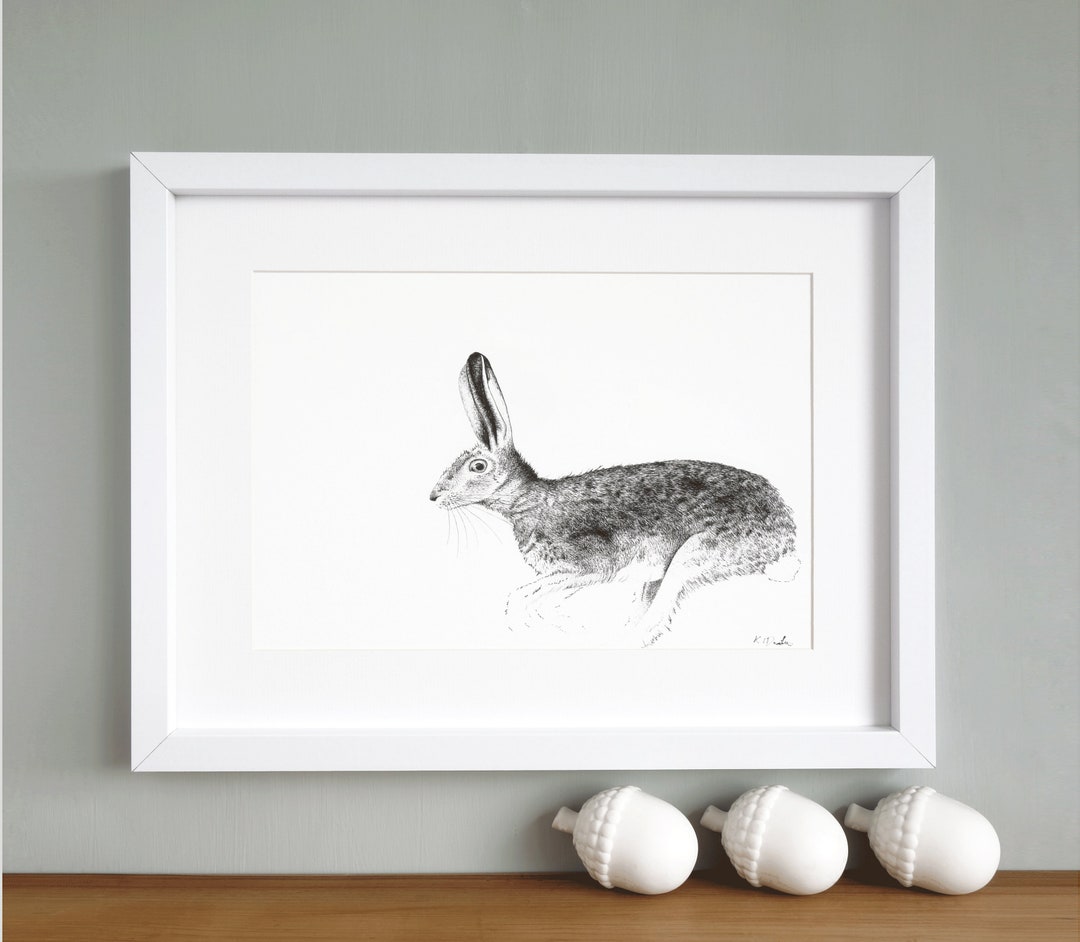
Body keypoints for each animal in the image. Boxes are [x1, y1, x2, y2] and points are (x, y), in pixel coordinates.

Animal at [430, 352, 799, 644]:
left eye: (477, 466)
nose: (434, 496)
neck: (529, 502)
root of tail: (786, 533)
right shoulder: (570, 576)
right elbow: (532, 599)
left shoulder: (589, 567)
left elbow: (524, 597)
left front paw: (554, 627)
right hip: (658, 576)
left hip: (693, 556)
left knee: (652, 622)